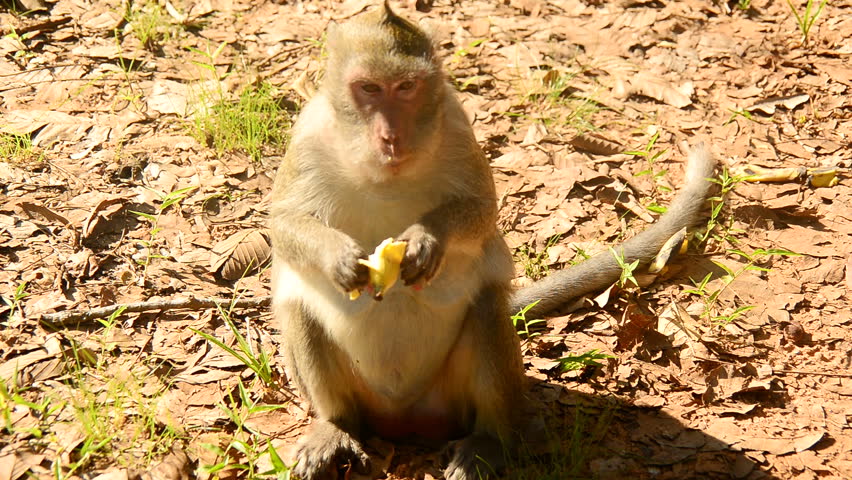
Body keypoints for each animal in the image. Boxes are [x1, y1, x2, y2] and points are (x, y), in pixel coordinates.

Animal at [269, 3, 716, 479]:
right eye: (369, 88)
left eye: (406, 88)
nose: (390, 136)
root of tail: (404, 421)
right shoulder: (308, 137)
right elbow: (283, 220)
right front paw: (337, 256)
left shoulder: (456, 128)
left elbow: (484, 208)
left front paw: (428, 238)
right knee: (299, 313)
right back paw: (335, 426)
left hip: (451, 396)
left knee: (485, 309)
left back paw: (489, 441)